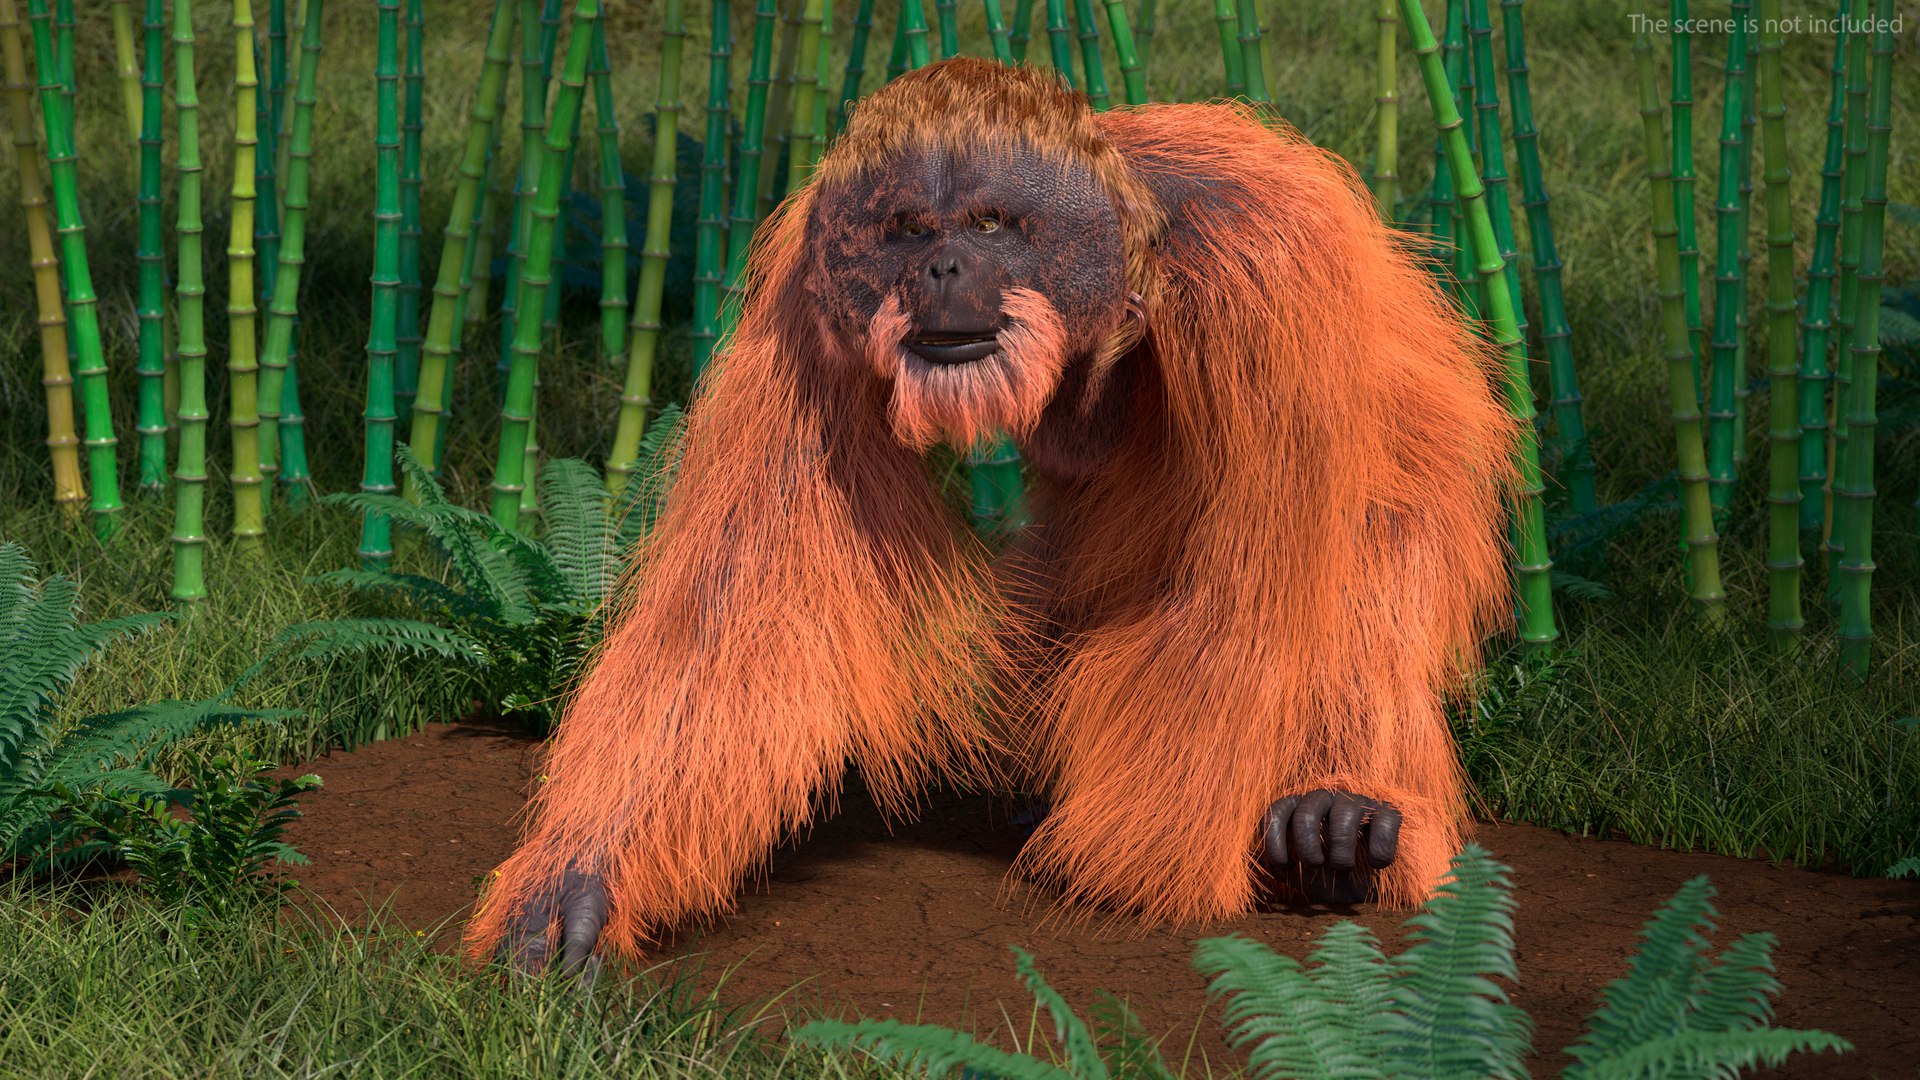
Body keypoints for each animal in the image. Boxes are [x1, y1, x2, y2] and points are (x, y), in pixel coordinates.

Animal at [466, 58, 1519, 977]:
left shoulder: (1262, 278)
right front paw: (581, 885)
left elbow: (1247, 603)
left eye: (991, 223)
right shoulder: (809, 293)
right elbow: (742, 594)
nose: (941, 266)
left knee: (1362, 549)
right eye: (905, 227)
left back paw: (1336, 812)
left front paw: (1149, 857)